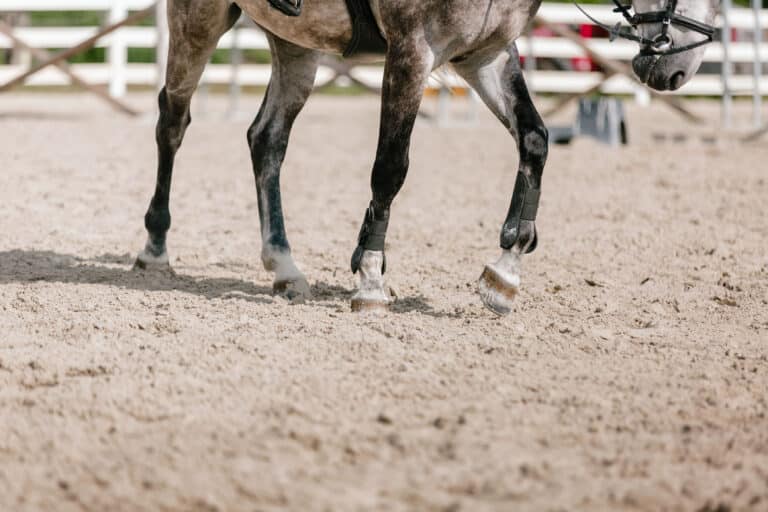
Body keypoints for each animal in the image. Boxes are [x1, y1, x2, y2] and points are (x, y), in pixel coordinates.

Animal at [134, 0, 719, 315]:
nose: (677, 71)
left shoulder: (485, 55)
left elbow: (534, 140)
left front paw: (505, 272)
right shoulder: (412, 53)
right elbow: (391, 168)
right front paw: (371, 279)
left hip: (296, 40)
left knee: (267, 139)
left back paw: (284, 266)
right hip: (199, 19)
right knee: (172, 123)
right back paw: (155, 248)